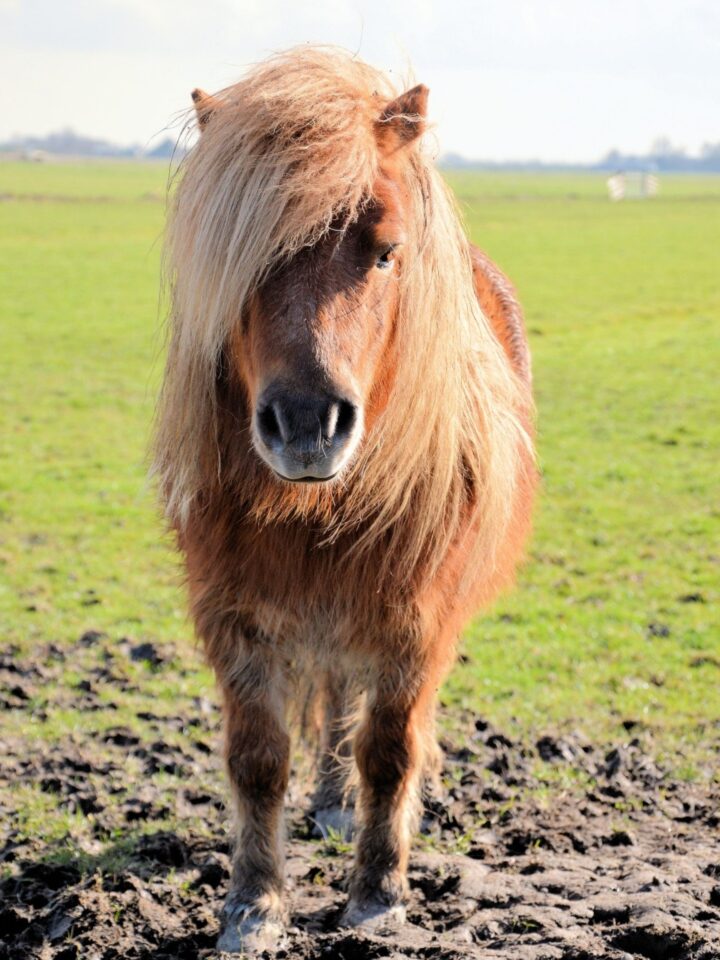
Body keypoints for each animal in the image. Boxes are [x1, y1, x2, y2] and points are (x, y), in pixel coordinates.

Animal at [153, 46, 537, 953]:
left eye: (386, 252)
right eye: (242, 257)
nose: (306, 423)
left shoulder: (416, 622)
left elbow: (391, 750)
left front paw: (378, 895)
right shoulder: (237, 616)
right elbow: (258, 759)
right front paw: (254, 905)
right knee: (330, 707)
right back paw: (327, 803)